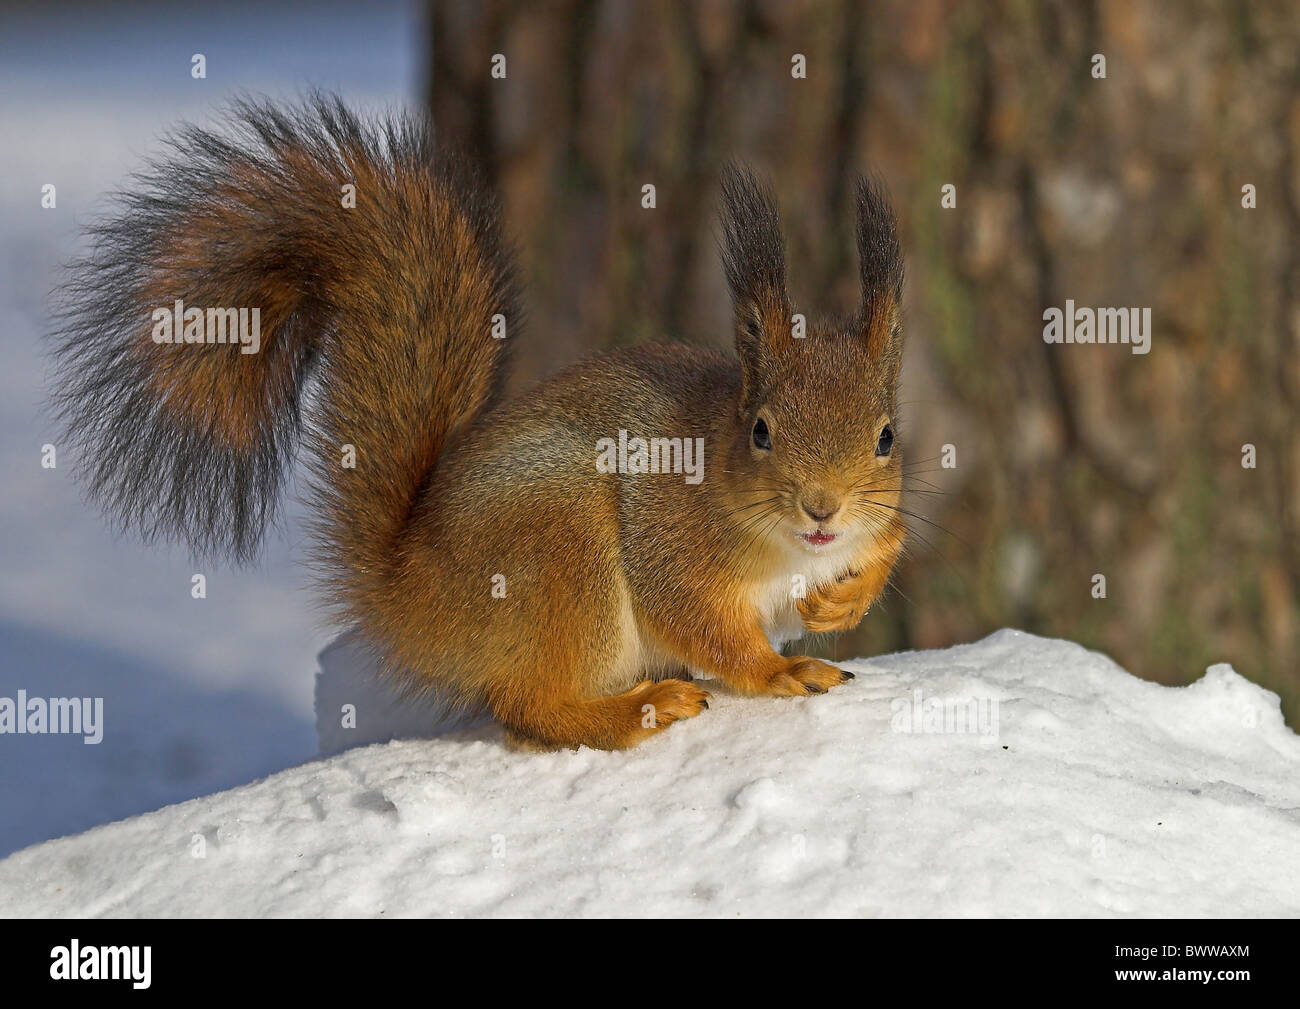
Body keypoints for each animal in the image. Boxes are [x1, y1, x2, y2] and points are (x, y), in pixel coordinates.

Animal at [51, 94, 908, 751]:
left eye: (887, 437)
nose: (823, 509)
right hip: (560, 545)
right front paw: (780, 670)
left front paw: (842, 603)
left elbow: (886, 544)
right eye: (760, 431)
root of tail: (410, 590)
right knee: (529, 706)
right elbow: (705, 623)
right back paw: (636, 708)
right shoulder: (673, 540)